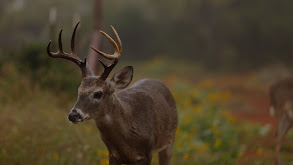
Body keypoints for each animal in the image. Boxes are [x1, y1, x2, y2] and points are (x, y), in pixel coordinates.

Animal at [46, 22, 178, 165]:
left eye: (98, 93)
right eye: (78, 90)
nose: (73, 115)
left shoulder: (147, 154)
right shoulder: (112, 155)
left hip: (170, 140)